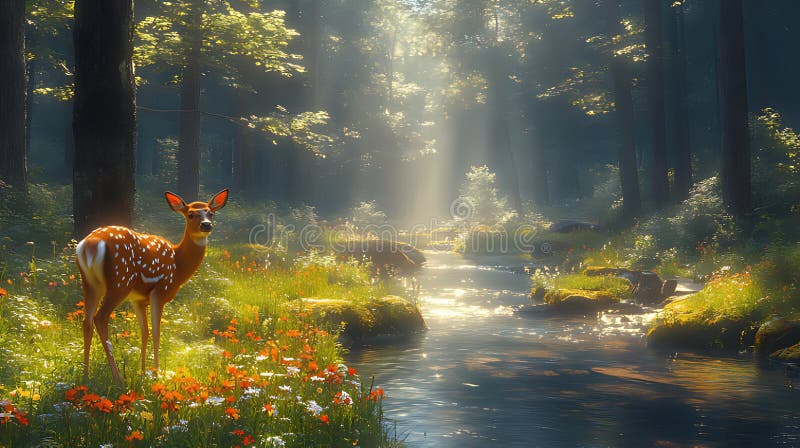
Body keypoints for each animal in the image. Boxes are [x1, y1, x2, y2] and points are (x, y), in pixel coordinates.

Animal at [75, 189, 229, 385]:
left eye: (211, 213)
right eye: (191, 214)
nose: (206, 225)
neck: (178, 265)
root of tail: (90, 246)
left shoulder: (138, 299)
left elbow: (145, 332)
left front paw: (142, 371)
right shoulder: (159, 291)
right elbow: (157, 332)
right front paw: (156, 373)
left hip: (90, 283)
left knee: (86, 321)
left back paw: (85, 376)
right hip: (120, 282)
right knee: (100, 318)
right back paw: (118, 379)